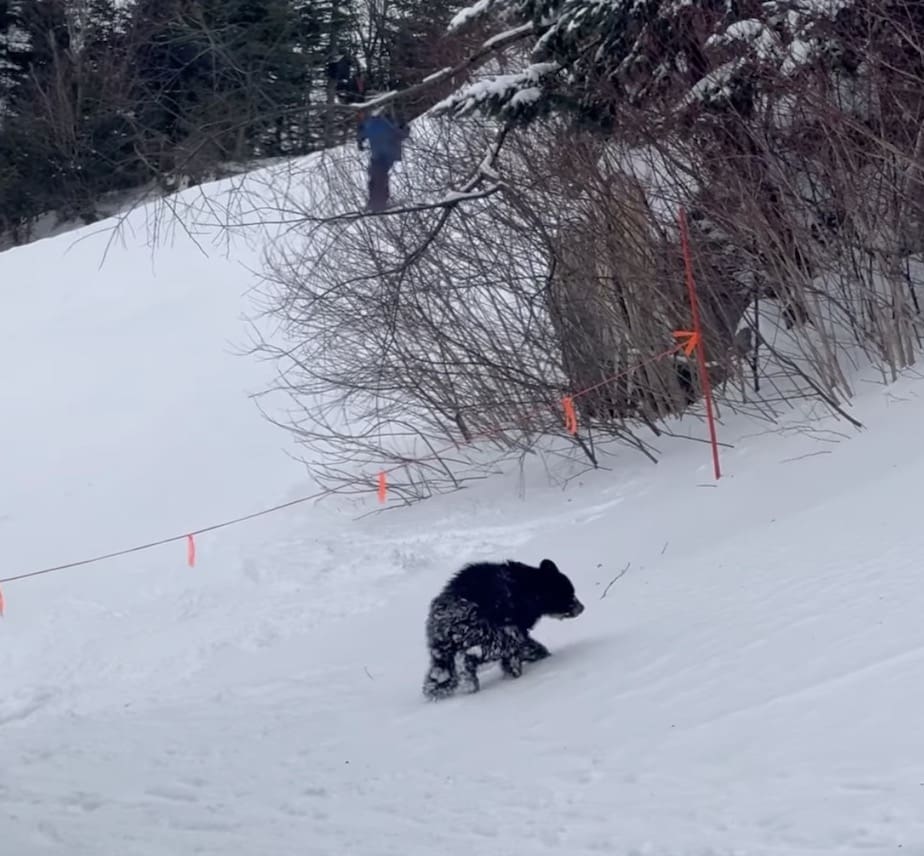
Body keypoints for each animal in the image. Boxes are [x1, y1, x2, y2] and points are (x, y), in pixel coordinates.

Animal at [422, 558, 584, 700]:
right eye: (569, 594)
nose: (582, 607)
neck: (532, 588)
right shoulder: (513, 624)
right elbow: (521, 645)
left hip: (441, 646)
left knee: (440, 669)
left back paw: (436, 689)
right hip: (482, 630)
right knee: (478, 653)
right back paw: (469, 678)